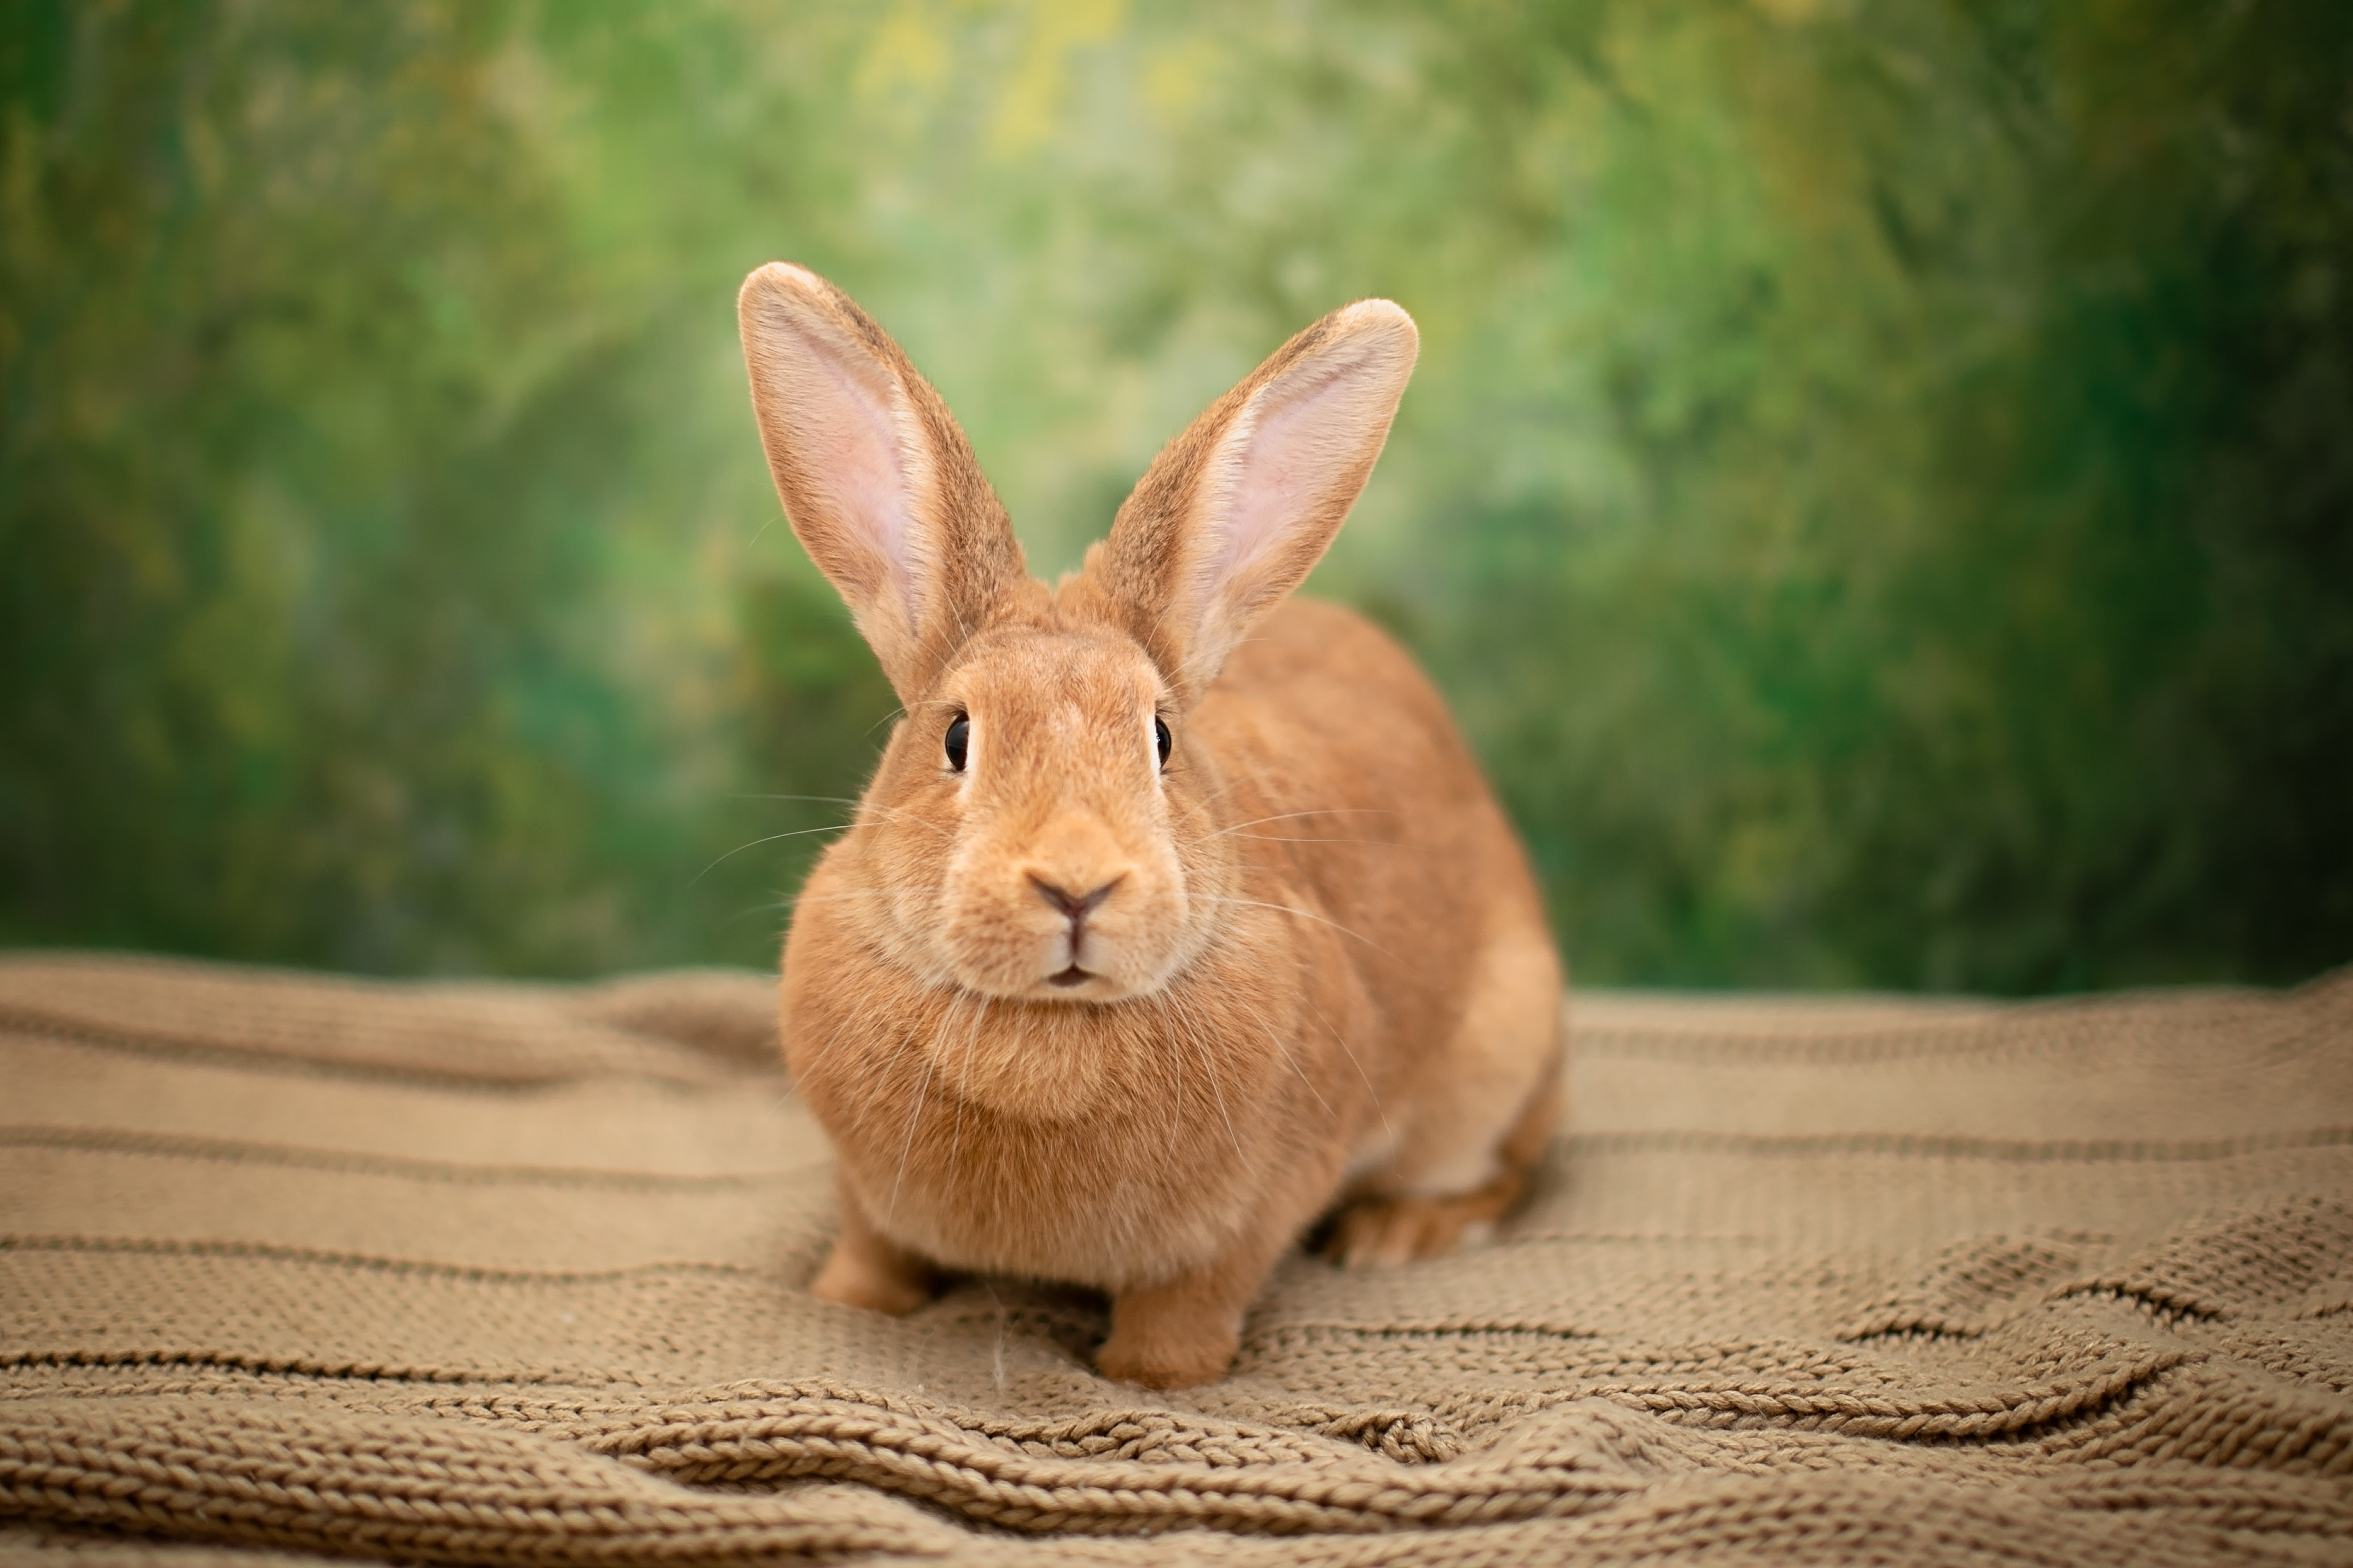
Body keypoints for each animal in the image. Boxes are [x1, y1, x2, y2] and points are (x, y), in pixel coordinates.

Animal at [738, 262, 1564, 1390]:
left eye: (1162, 737)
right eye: (957, 735)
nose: (1077, 882)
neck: (1046, 1028)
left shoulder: (1247, 1217)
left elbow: (1191, 1302)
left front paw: (1153, 1376)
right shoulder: (863, 1192)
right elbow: (871, 1251)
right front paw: (846, 1302)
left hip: (1496, 1059)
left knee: (1505, 1175)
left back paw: (1397, 1232)